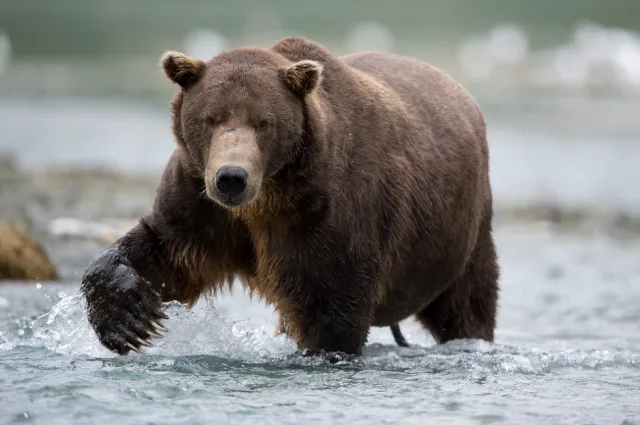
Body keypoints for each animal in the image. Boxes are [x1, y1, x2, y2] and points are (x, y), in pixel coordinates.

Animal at [80, 36, 499, 356]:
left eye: (263, 122)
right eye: (211, 118)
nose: (231, 178)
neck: (265, 199)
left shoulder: (327, 213)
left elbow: (331, 309)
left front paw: (322, 350)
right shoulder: (201, 203)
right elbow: (163, 248)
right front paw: (129, 320)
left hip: (461, 233)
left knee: (467, 303)